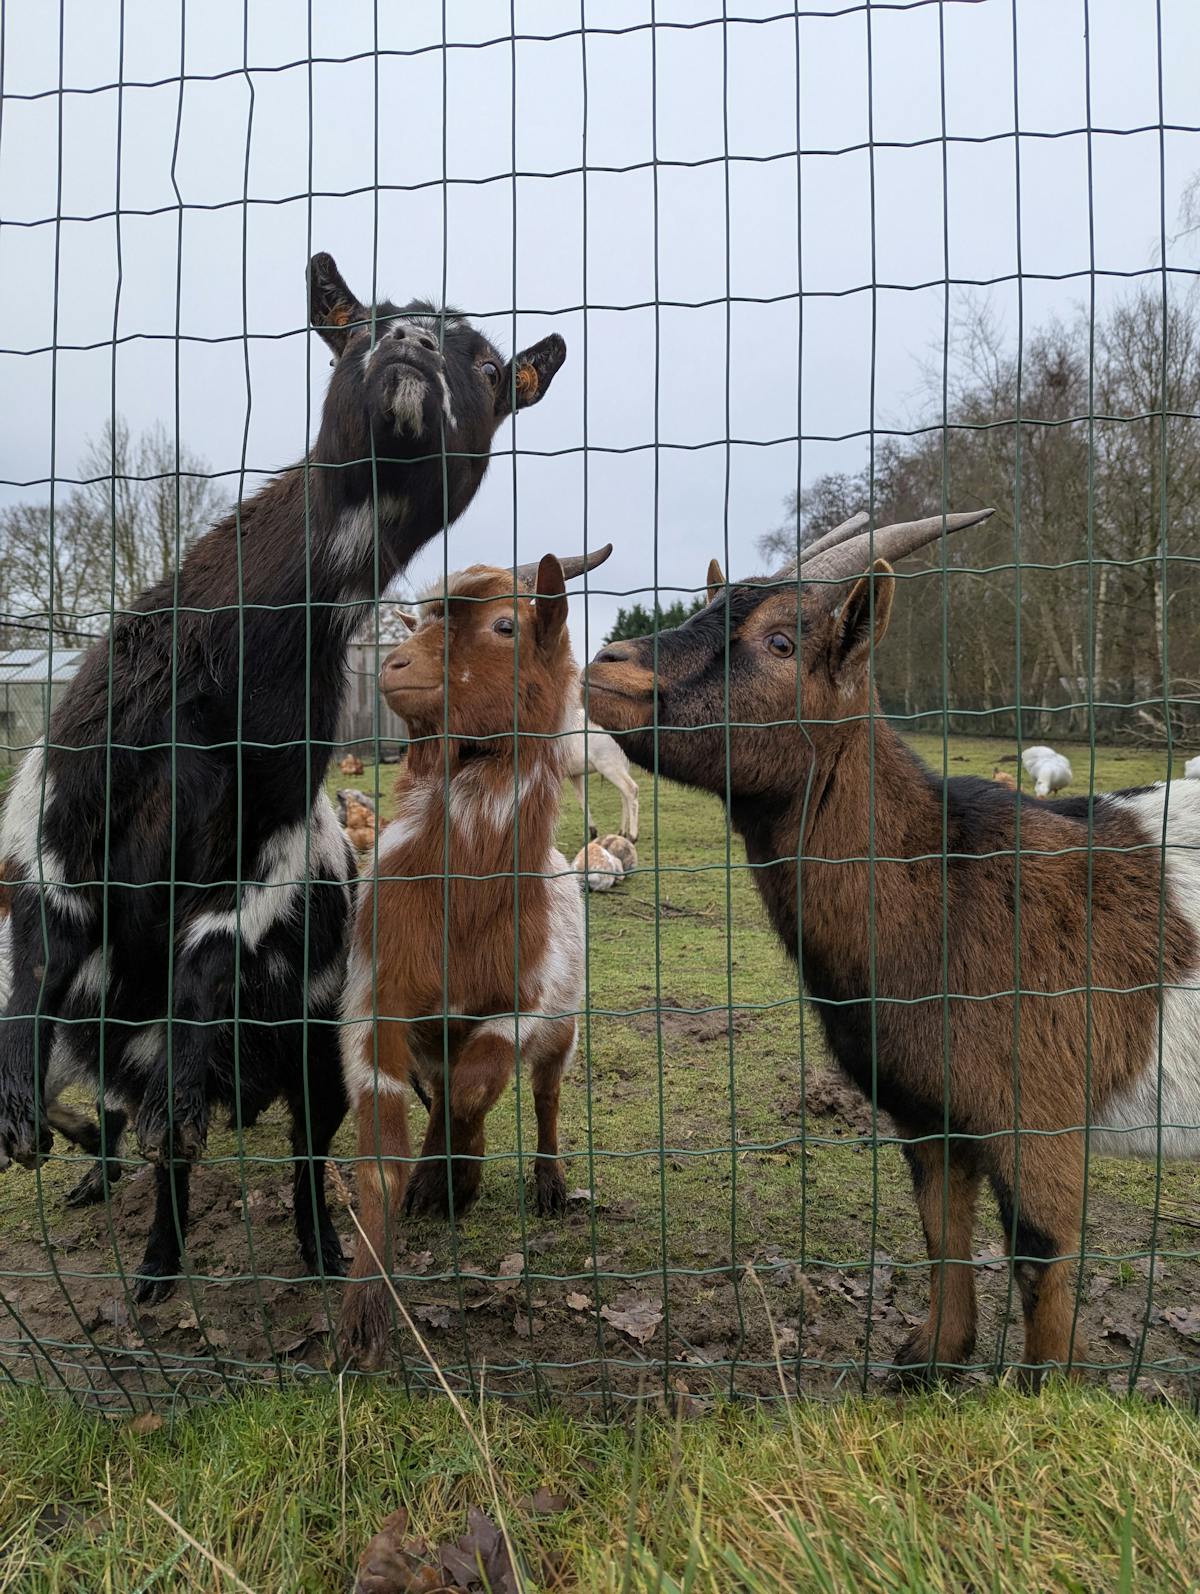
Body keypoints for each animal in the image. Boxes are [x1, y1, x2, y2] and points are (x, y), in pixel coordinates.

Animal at [0, 251, 567, 1302]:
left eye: (486, 360)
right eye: (363, 325)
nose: (410, 344)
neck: (215, 676)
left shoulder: (269, 833)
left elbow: (205, 958)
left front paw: (179, 1109)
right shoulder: (58, 802)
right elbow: (39, 939)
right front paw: (15, 1112)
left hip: (321, 1045)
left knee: (305, 1149)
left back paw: (318, 1251)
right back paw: (153, 1263)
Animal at [338, 547, 608, 1363]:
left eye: (506, 625)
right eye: (418, 622)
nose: (394, 666)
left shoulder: (527, 1004)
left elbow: (475, 1089)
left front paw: (466, 1170)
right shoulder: (376, 1000)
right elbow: (384, 1155)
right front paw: (363, 1319)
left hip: (567, 1027)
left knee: (544, 1094)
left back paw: (546, 1185)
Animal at [561, 705, 639, 841]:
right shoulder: (574, 774)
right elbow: (582, 798)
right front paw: (593, 832)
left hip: (609, 765)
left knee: (631, 789)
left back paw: (632, 836)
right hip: (622, 766)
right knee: (623, 795)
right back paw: (621, 833)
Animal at [586, 507, 1200, 1384]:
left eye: (781, 641)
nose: (606, 666)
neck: (944, 884)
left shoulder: (1038, 1116)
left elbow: (1040, 1253)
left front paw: (1050, 1386)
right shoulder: (929, 1116)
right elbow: (942, 1232)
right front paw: (929, 1361)